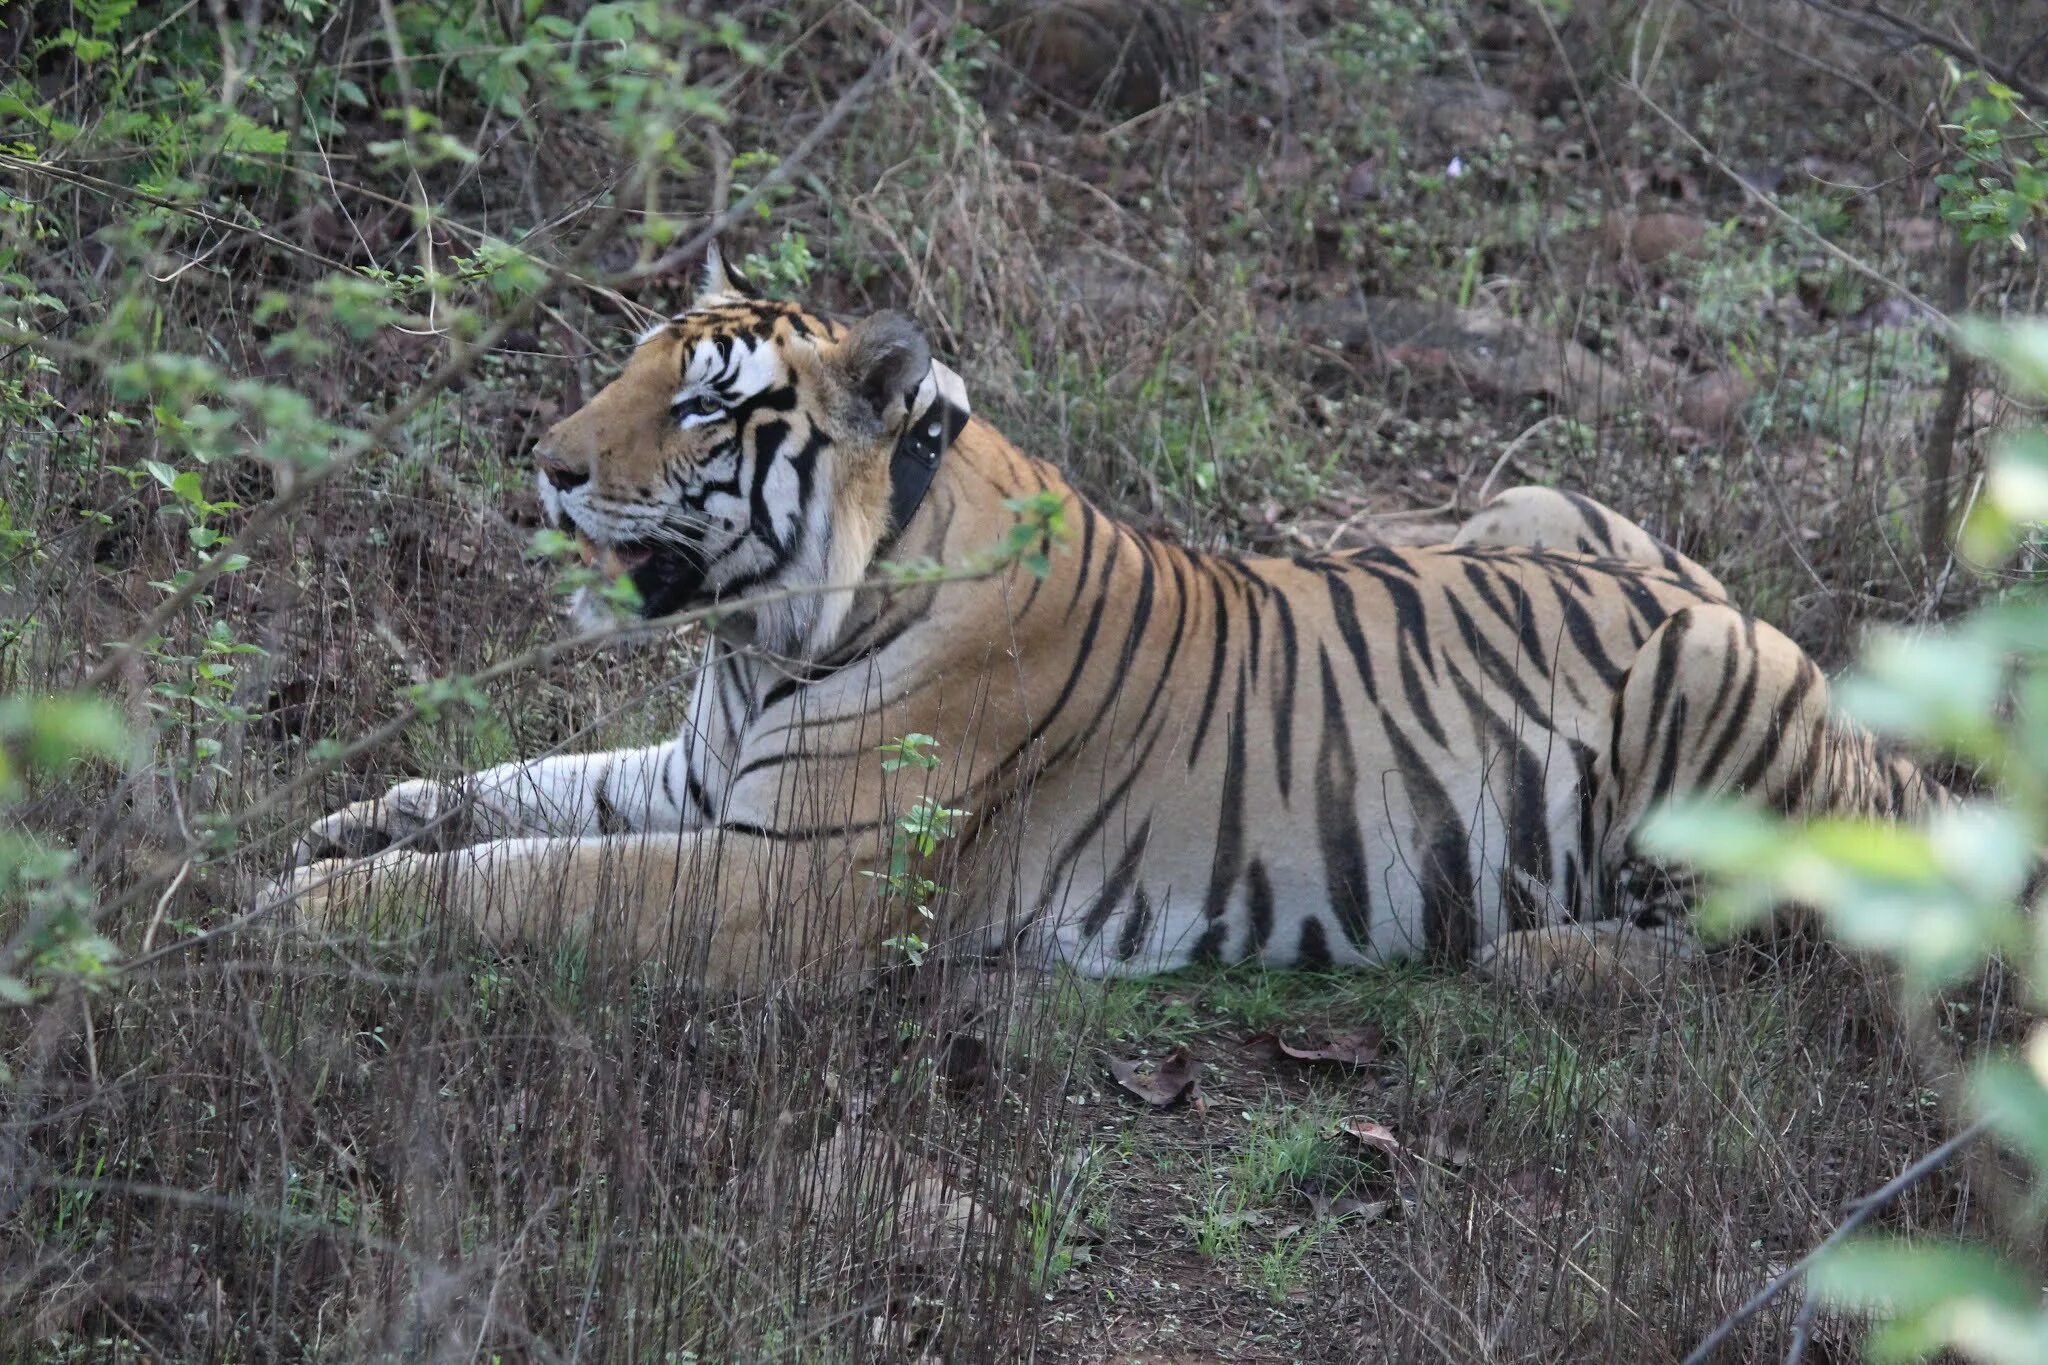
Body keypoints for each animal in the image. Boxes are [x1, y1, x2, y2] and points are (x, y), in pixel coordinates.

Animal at [268, 245, 1949, 994]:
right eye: (629, 362)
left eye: (698, 406)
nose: (544, 463)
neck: (762, 639)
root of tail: (1877, 742)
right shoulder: (695, 780)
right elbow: (518, 794)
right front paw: (353, 820)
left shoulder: (786, 885)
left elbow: (530, 879)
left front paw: (302, 910)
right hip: (1541, 505)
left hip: (1709, 672)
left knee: (1776, 949)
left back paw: (1537, 961)